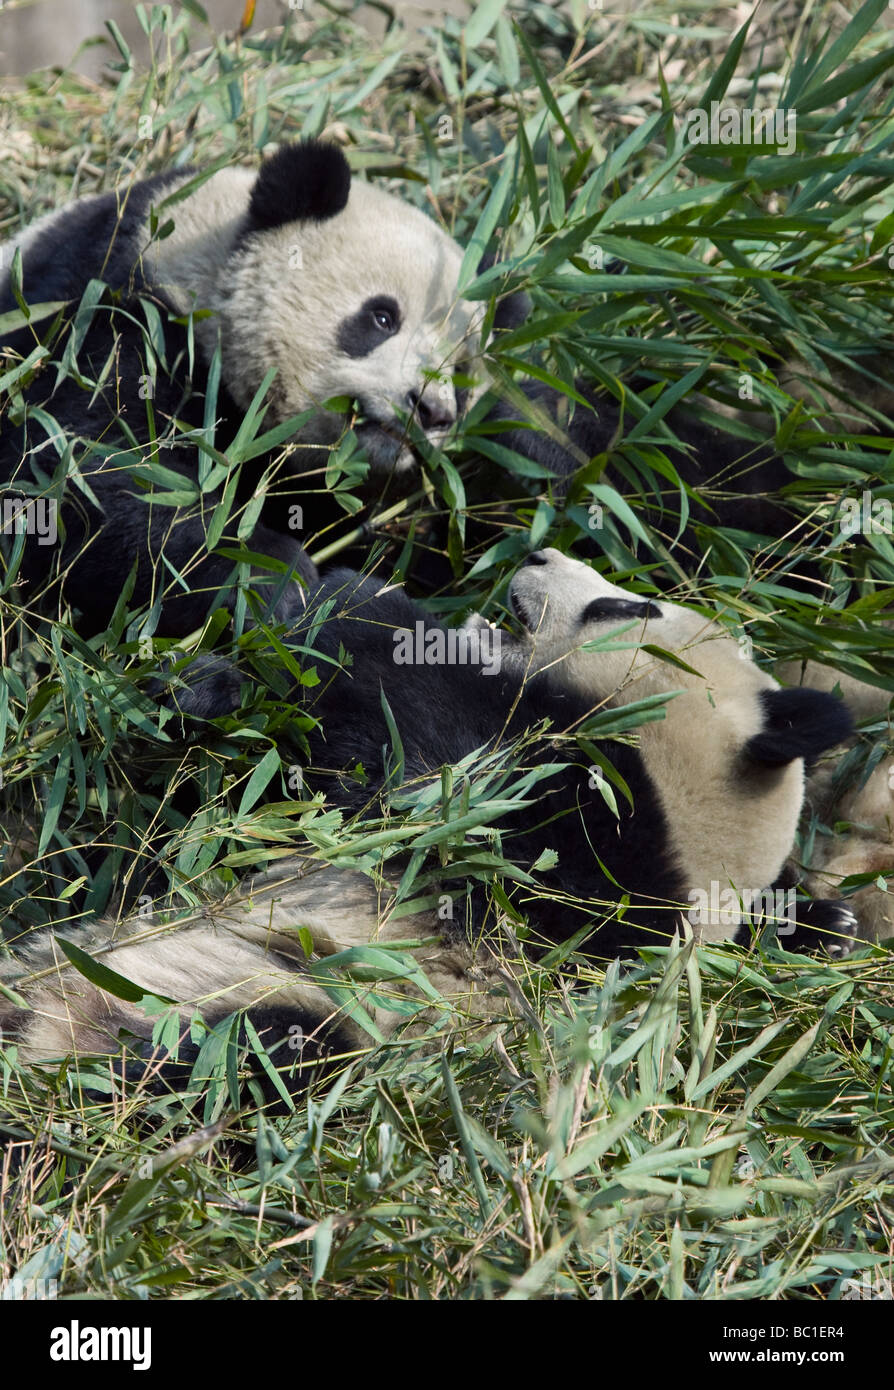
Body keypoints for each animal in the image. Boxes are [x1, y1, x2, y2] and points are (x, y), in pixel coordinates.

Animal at [0, 139, 527, 638]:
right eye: (382, 317)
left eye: (462, 370)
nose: (432, 410)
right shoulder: (111, 313)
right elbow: (86, 475)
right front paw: (276, 578)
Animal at [0, 551, 855, 1096]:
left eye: (625, 605)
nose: (539, 550)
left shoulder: (575, 853)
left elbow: (414, 770)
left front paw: (359, 598)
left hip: (264, 1016)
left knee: (239, 1054)